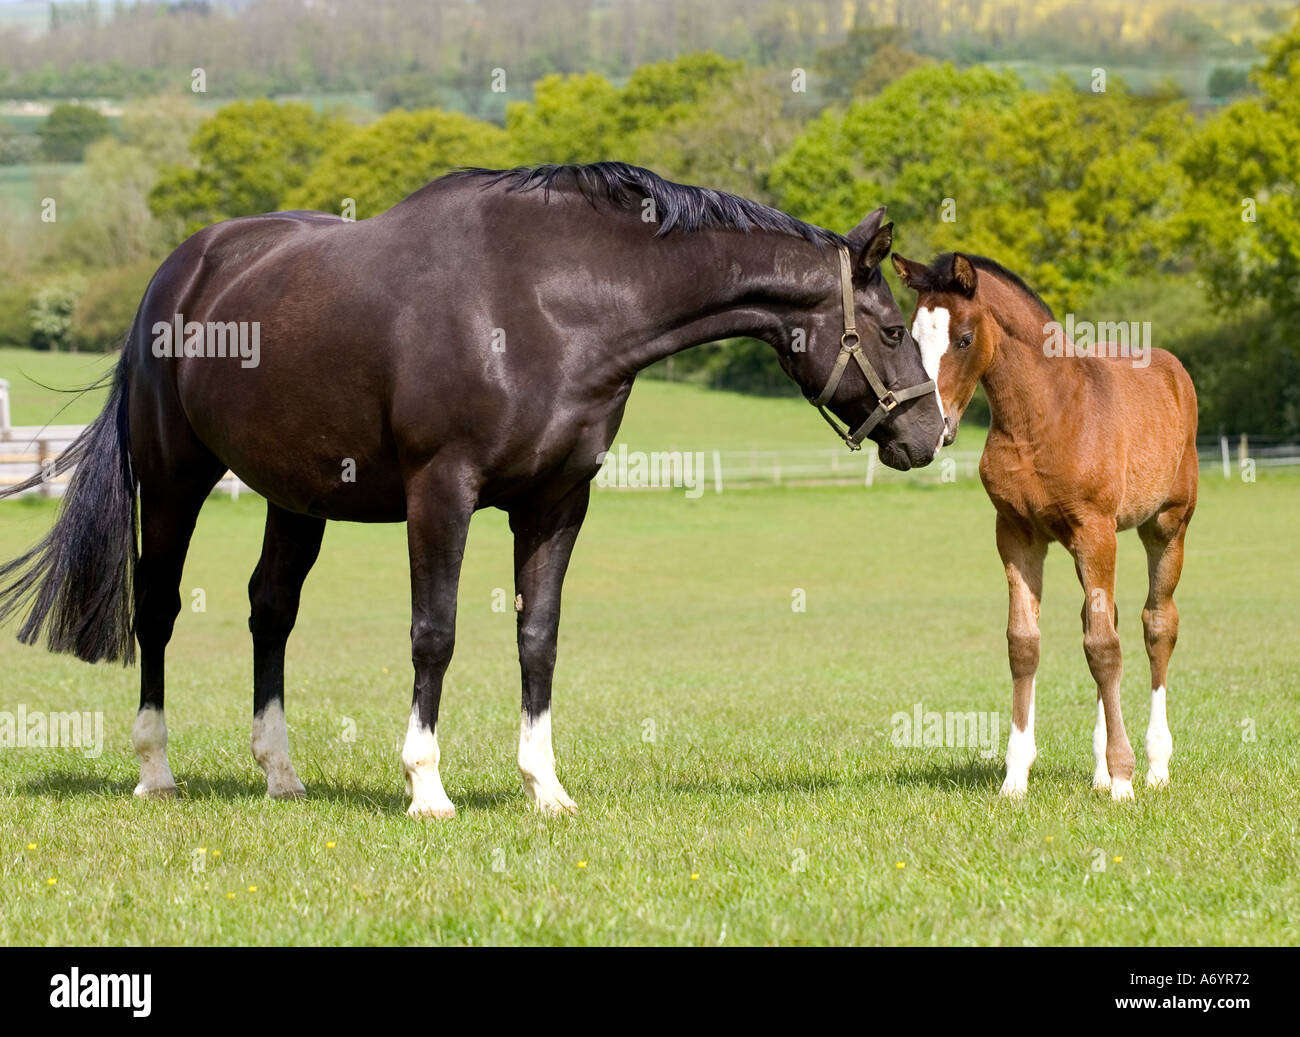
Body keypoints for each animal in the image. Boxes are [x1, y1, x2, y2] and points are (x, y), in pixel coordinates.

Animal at [0, 162, 943, 817]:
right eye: (894, 329)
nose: (930, 435)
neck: (547, 302)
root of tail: (183, 269)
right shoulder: (441, 493)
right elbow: (435, 635)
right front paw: (426, 786)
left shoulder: (558, 503)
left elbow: (537, 638)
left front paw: (545, 786)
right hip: (173, 479)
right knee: (157, 609)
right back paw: (155, 770)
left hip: (295, 496)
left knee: (270, 609)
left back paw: (281, 772)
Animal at [890, 251, 1197, 801]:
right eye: (913, 338)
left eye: (964, 339)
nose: (936, 428)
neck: (1042, 417)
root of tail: (1172, 368)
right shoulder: (1017, 534)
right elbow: (1024, 643)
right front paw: (1015, 777)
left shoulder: (1094, 530)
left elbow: (1103, 648)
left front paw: (1124, 780)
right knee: (1108, 618)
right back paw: (1099, 770)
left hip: (1166, 528)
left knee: (1157, 625)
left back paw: (1155, 765)